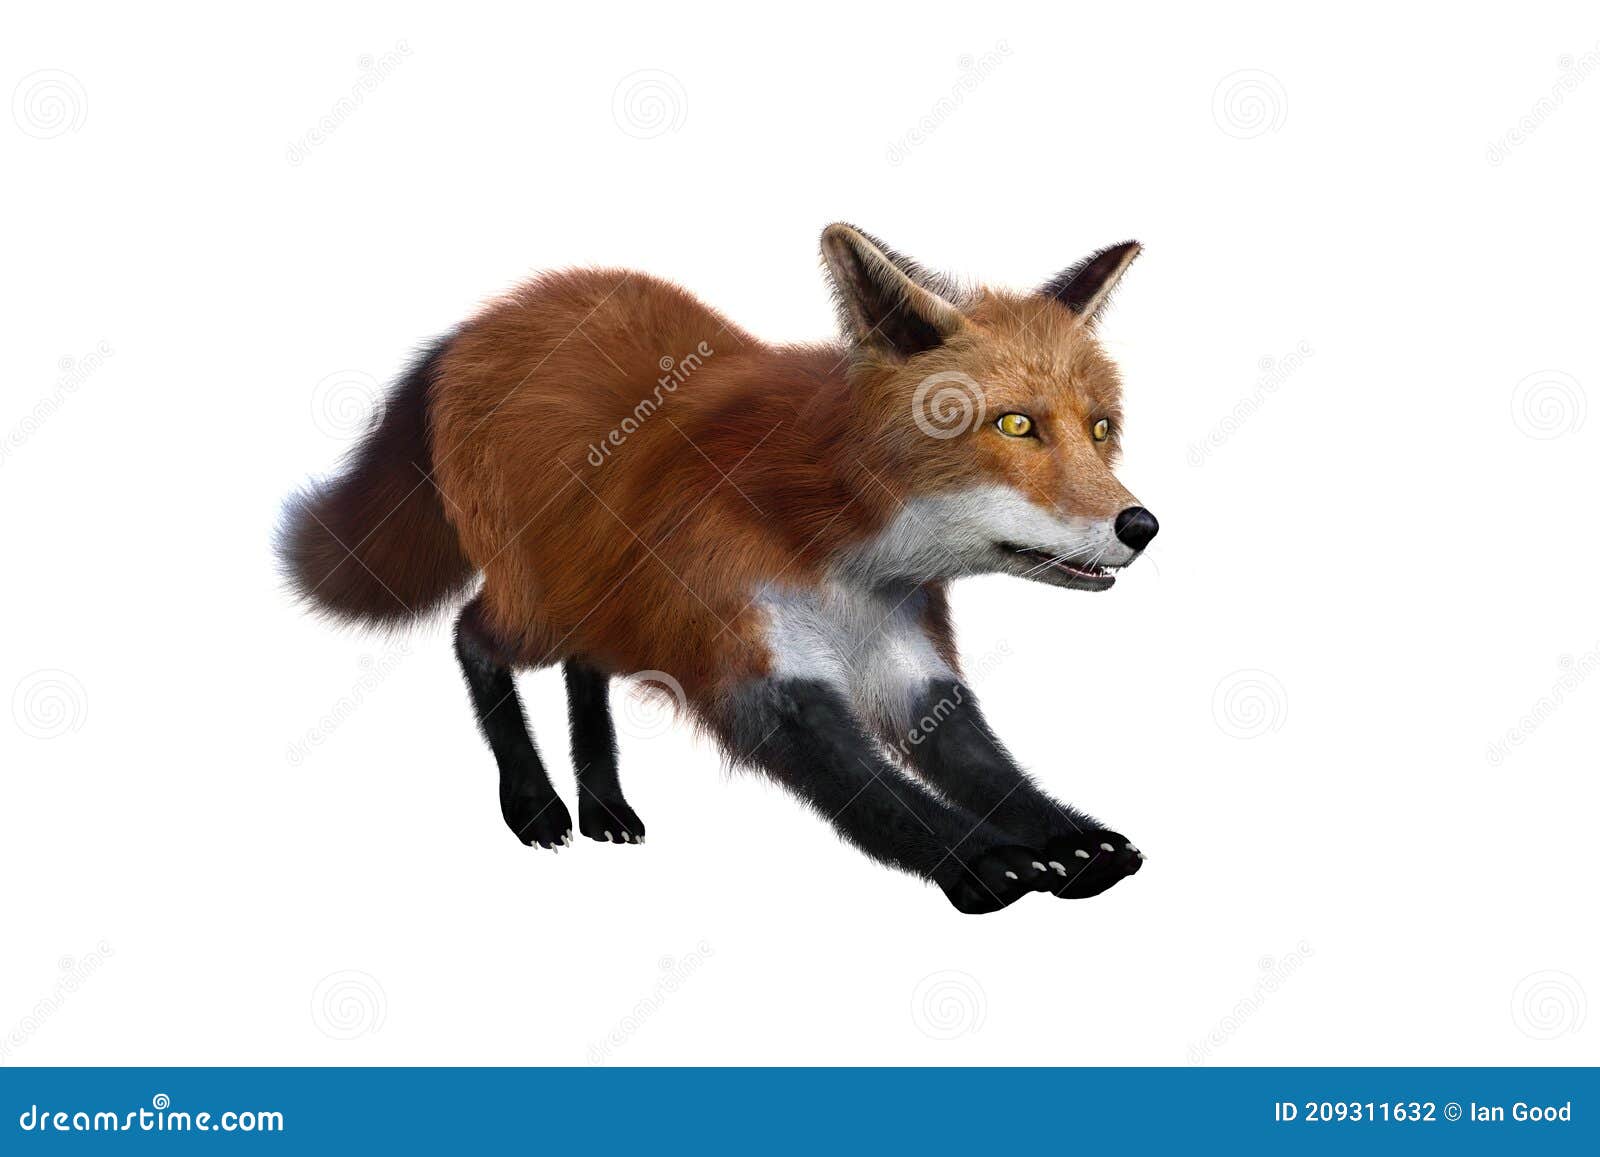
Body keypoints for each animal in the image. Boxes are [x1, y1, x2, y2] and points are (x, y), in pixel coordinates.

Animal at [277, 223, 1160, 914]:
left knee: (584, 669)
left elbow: (985, 766)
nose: (1142, 525)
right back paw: (533, 802)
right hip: (546, 603)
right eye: (1016, 425)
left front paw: (1069, 837)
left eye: (1101, 429)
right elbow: (877, 793)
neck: (840, 566)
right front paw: (983, 857)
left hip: (602, 592)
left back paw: (603, 800)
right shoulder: (756, 661)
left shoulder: (908, 662)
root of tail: (483, 319)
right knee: (471, 634)